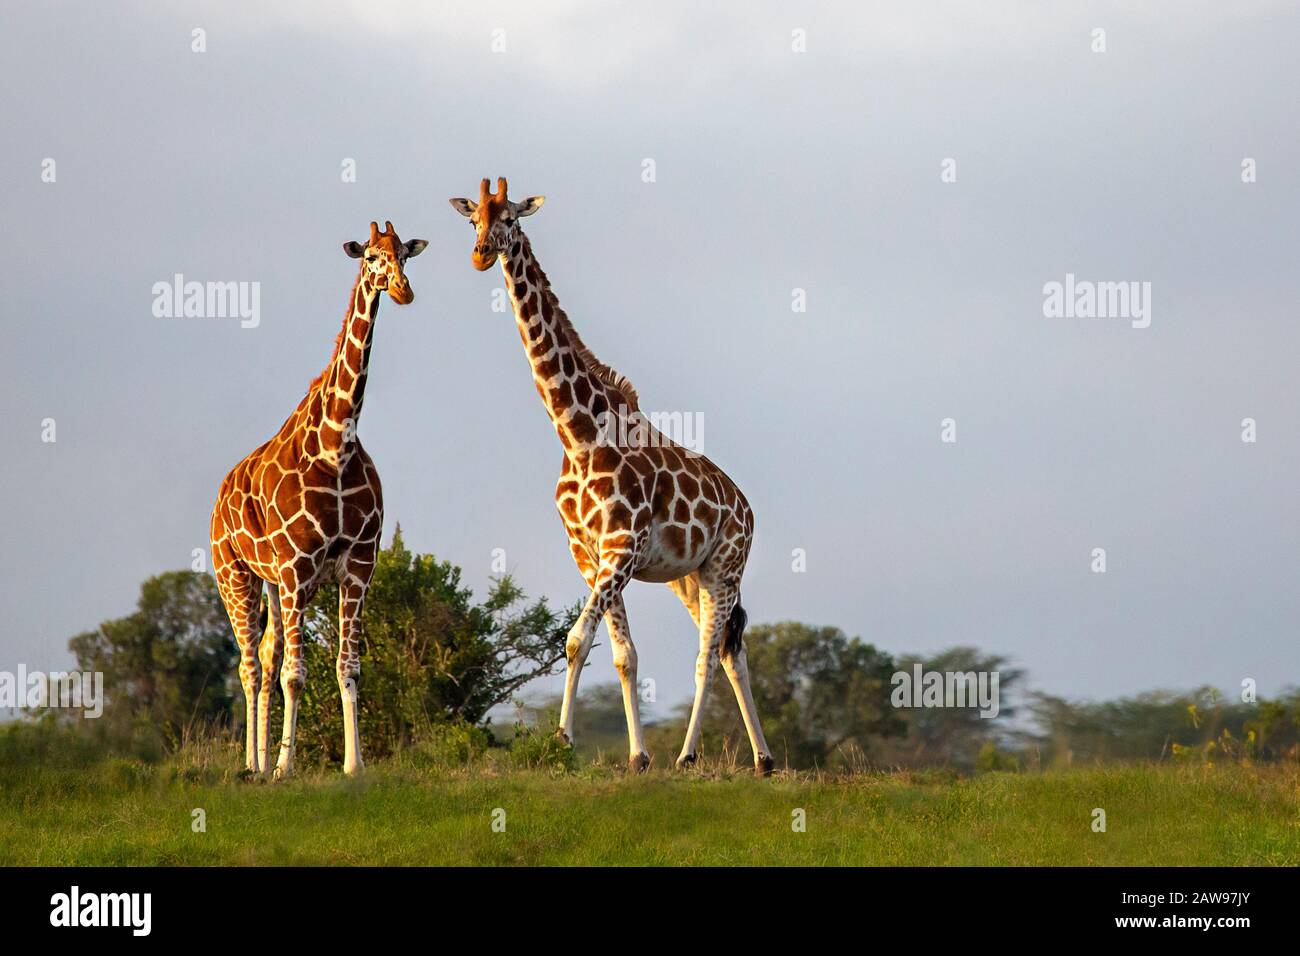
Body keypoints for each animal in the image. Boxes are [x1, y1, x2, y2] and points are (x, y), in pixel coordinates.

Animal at [209, 221, 426, 778]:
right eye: (371, 256)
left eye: (405, 255)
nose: (403, 291)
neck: (336, 444)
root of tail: (219, 496)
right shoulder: (297, 566)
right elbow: (295, 673)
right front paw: (287, 767)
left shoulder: (358, 563)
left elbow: (347, 665)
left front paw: (355, 764)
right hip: (235, 574)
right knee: (249, 665)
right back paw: (254, 765)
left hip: (272, 584)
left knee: (265, 656)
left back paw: (263, 760)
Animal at [450, 178, 774, 775]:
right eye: (472, 220)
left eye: (509, 217)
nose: (481, 254)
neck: (577, 434)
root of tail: (745, 506)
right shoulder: (589, 554)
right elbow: (623, 655)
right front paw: (636, 756)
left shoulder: (621, 548)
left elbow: (578, 640)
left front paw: (562, 741)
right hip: (687, 577)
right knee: (731, 650)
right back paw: (763, 761)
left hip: (725, 566)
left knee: (707, 655)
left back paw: (688, 755)